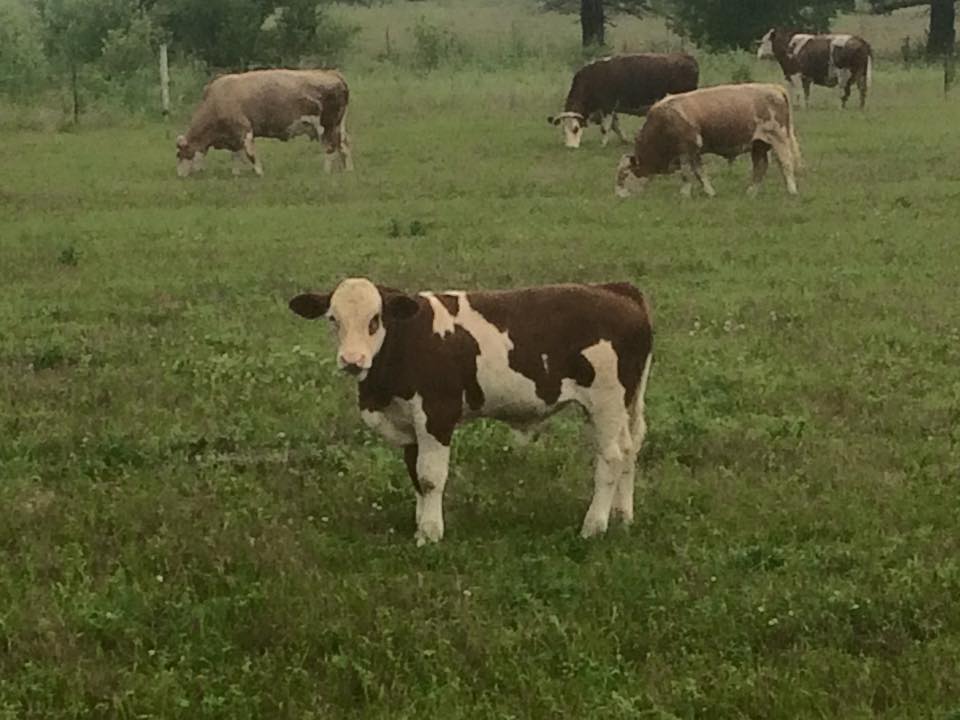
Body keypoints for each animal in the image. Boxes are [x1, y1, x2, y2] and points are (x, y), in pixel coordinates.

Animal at [175, 68, 352, 178]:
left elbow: (250, 153)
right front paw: (235, 174)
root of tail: (332, 73)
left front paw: (259, 173)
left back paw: (326, 172)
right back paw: (347, 170)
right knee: (344, 147)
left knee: (330, 148)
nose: (180, 175)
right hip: (339, 127)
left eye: (180, 154)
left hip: (327, 126)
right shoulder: (233, 136)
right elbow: (236, 154)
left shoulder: (244, 130)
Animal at [288, 278, 654, 545]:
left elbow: (430, 476)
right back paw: (623, 517)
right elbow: (415, 474)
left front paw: (430, 533)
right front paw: (421, 523)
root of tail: (615, 289)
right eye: (333, 319)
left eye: (375, 320)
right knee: (629, 448)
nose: (352, 360)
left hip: (606, 401)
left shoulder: (436, 413)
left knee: (611, 457)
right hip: (618, 405)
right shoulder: (409, 423)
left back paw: (593, 526)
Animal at [547, 53, 700, 149]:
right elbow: (616, 126)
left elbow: (605, 128)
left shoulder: (607, 106)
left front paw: (602, 145)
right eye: (563, 131)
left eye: (576, 128)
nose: (571, 147)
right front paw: (625, 140)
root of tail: (687, 57)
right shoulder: (610, 109)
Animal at [615, 83, 802, 199]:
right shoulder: (693, 153)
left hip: (778, 138)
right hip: (758, 145)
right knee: (760, 167)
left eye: (623, 176)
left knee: (785, 163)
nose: (619, 196)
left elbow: (687, 174)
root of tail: (773, 87)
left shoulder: (686, 150)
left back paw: (792, 191)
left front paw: (685, 193)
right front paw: (709, 192)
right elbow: (699, 172)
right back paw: (751, 193)